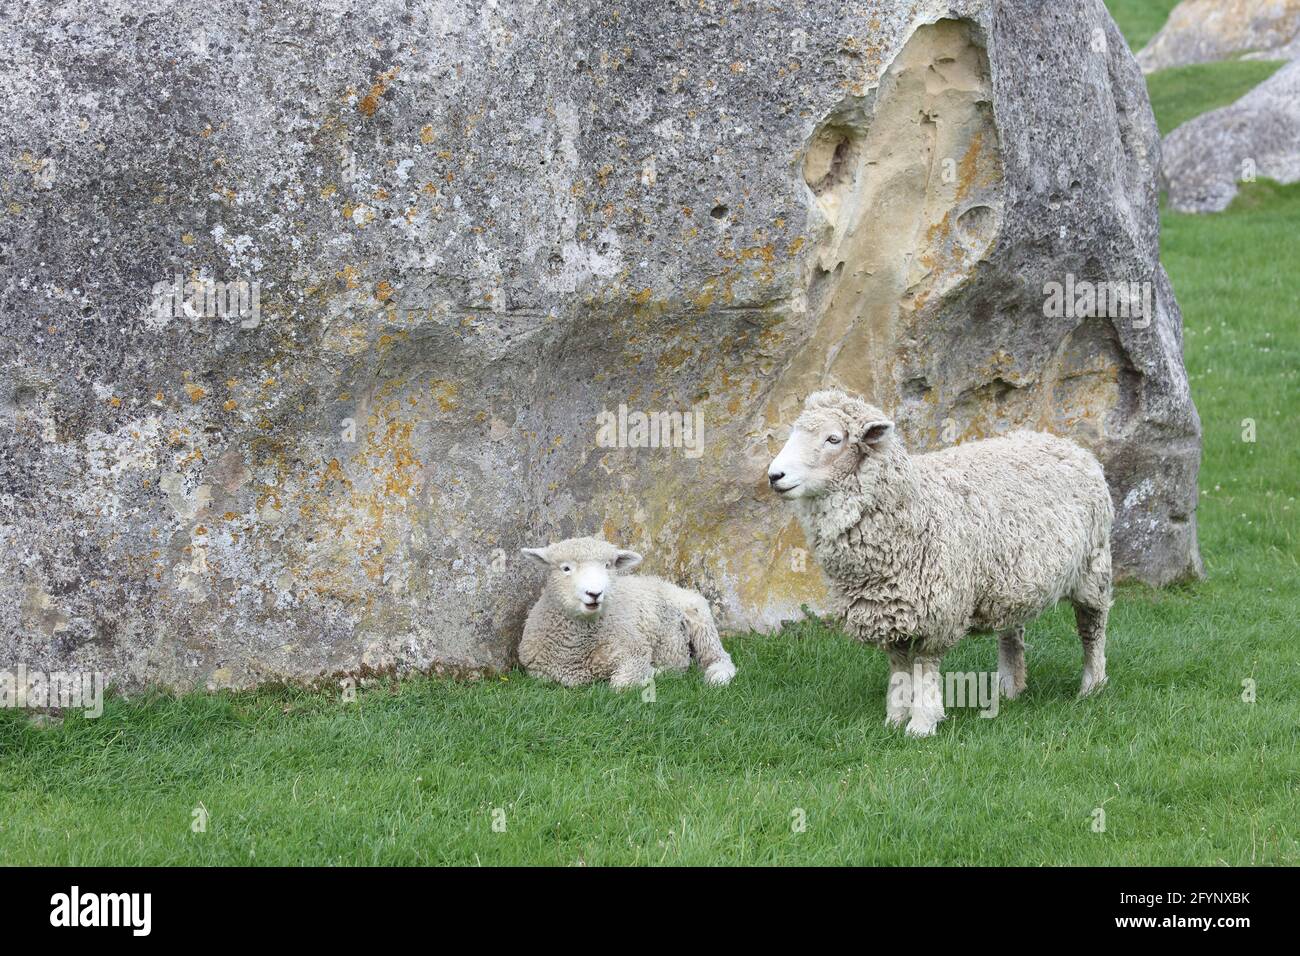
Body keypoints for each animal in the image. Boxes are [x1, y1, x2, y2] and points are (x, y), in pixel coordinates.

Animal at [517, 536, 737, 689]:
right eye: (565, 568)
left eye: (608, 565)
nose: (595, 593)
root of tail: (661, 581)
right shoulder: (538, 672)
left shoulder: (634, 651)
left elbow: (620, 686)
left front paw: (649, 675)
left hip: (700, 618)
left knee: (719, 657)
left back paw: (716, 676)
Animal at [767, 389, 1114, 737]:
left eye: (833, 439)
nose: (774, 475)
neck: (913, 506)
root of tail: (1067, 444)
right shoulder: (889, 609)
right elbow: (899, 668)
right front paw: (894, 719)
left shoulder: (936, 611)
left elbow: (923, 669)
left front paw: (921, 724)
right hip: (1009, 579)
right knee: (1011, 632)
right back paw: (1009, 688)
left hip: (1093, 567)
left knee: (1092, 628)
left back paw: (1092, 686)